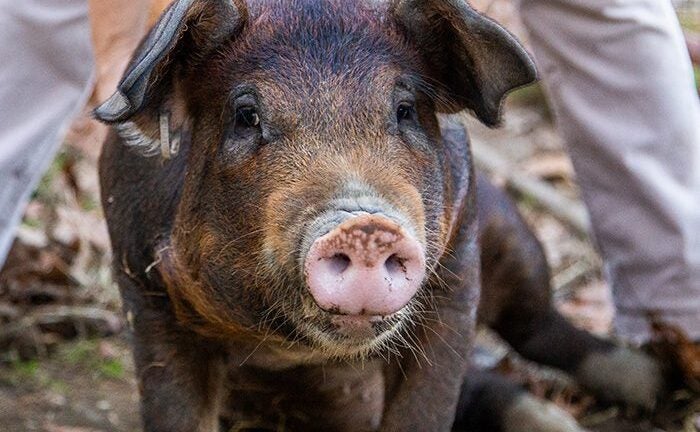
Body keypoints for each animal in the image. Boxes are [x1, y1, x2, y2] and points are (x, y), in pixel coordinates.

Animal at [95, 0, 666, 431]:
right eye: (246, 116)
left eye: (406, 110)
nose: (366, 227)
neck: (296, 350)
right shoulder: (146, 293)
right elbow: (175, 412)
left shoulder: (456, 280)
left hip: (511, 231)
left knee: (535, 325)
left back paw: (640, 384)